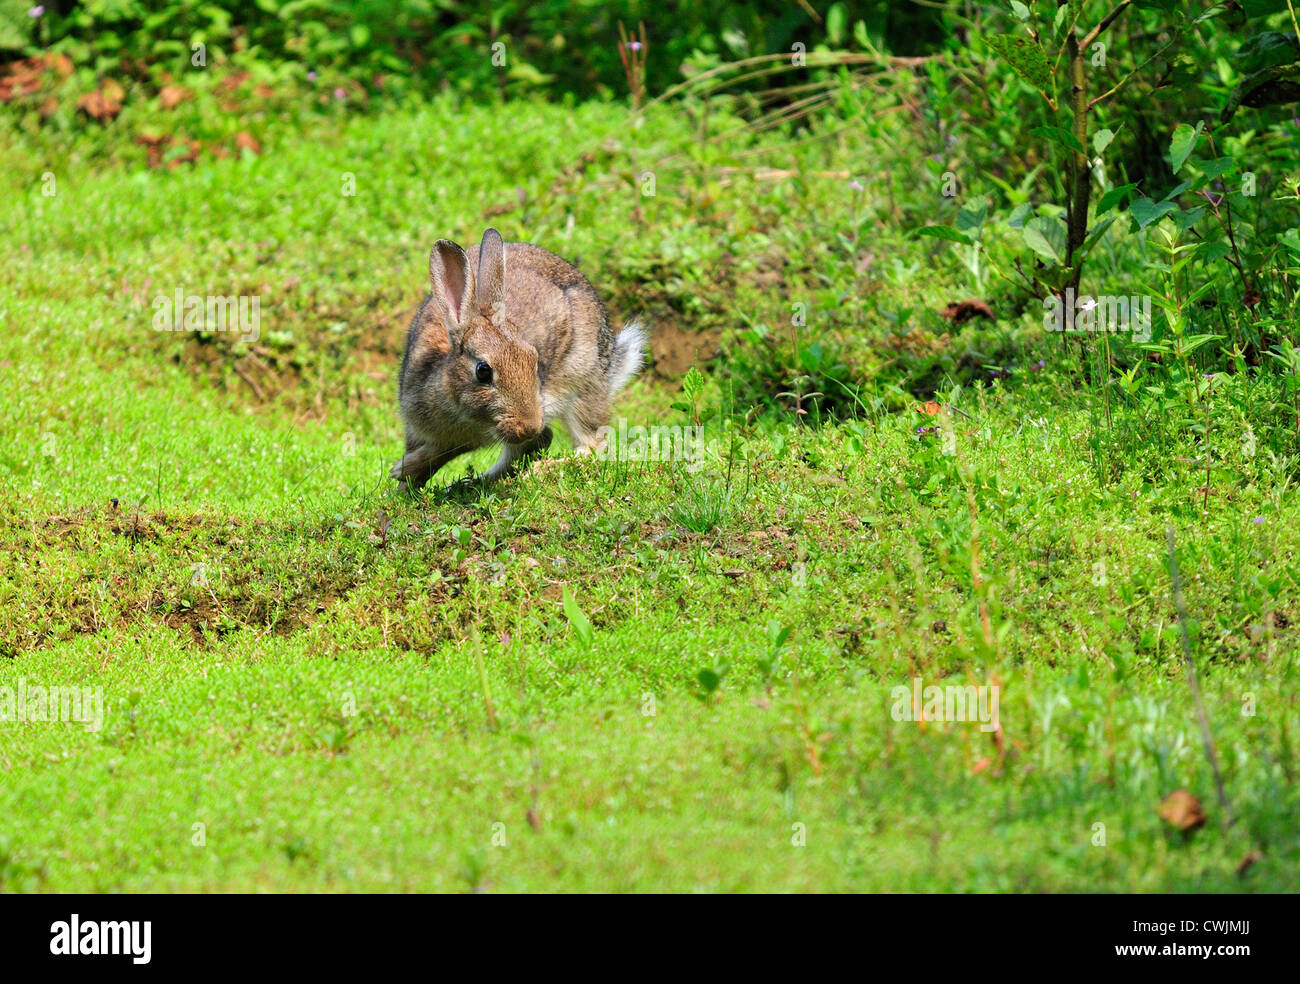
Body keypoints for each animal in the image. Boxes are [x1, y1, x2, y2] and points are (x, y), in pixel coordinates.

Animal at [390, 227, 645, 489]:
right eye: (483, 371)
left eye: (534, 360)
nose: (529, 426)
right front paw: (403, 484)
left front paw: (402, 470)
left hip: (584, 382)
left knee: (589, 445)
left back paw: (542, 468)